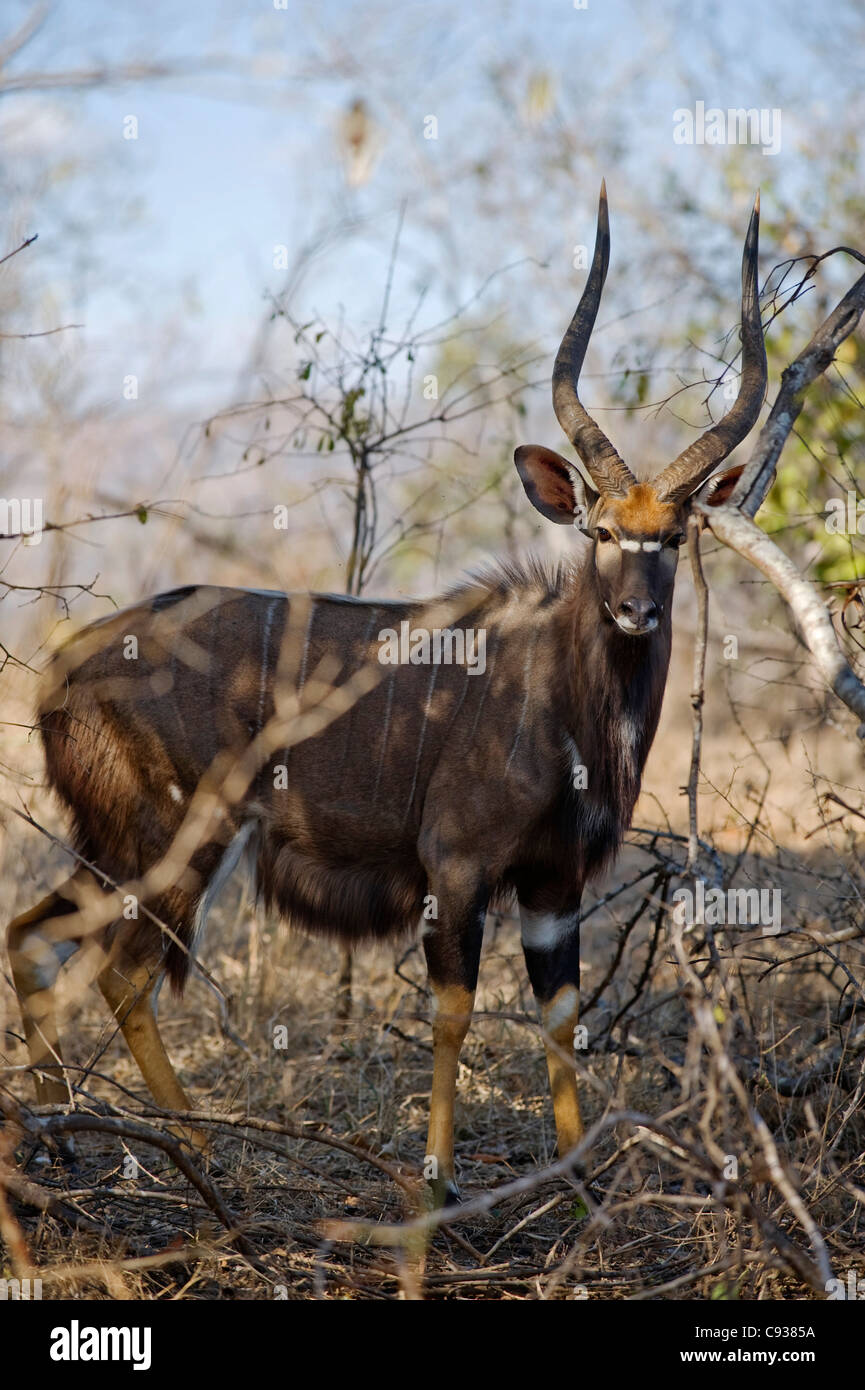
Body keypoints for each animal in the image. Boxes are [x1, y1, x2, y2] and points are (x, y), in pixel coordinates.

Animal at [6, 184, 766, 1203]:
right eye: (601, 529)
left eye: (673, 537)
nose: (636, 611)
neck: (559, 703)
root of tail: (66, 670)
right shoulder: (457, 869)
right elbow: (454, 1011)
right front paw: (436, 1182)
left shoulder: (553, 883)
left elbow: (560, 1013)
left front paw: (574, 1183)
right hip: (176, 839)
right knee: (121, 974)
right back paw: (197, 1151)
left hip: (113, 844)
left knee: (30, 932)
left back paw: (58, 1135)